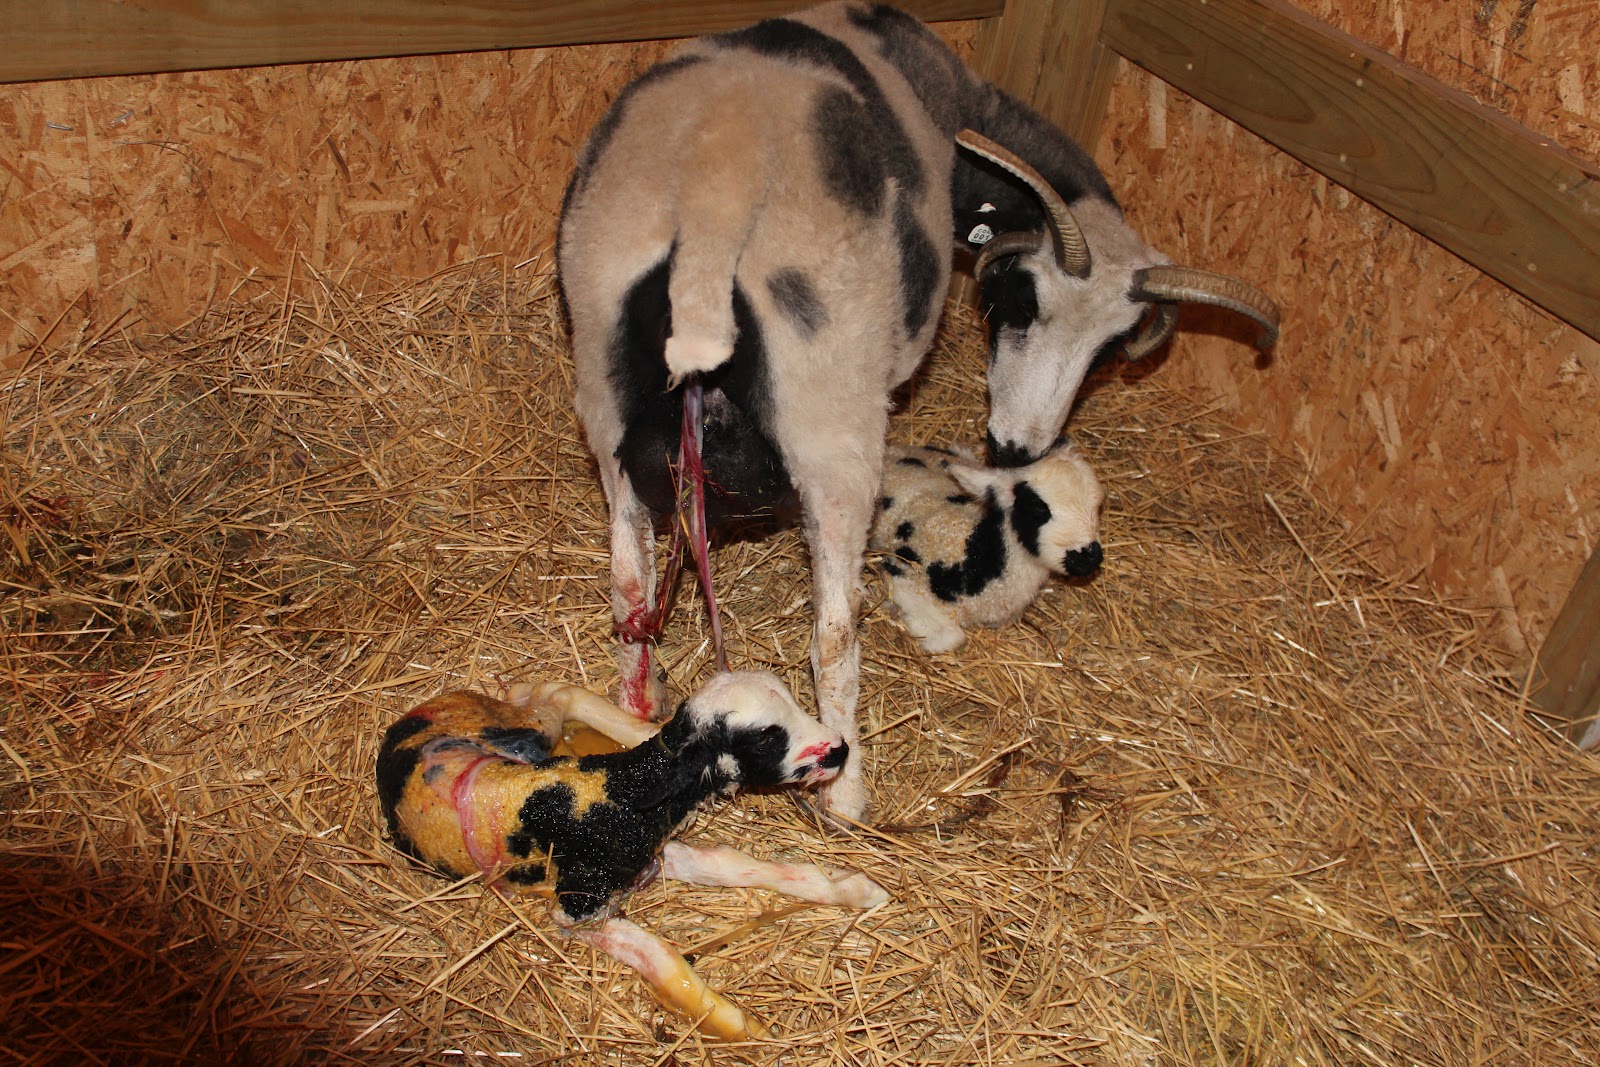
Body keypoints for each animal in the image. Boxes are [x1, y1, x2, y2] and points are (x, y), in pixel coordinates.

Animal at [376, 670, 887, 1041]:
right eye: (764, 738)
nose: (840, 749)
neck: (620, 790)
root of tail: (413, 716)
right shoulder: (577, 908)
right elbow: (659, 953)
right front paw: (735, 1022)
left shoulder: (649, 852)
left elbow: (728, 862)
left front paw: (852, 889)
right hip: (521, 734)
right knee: (549, 696)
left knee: (558, 694)